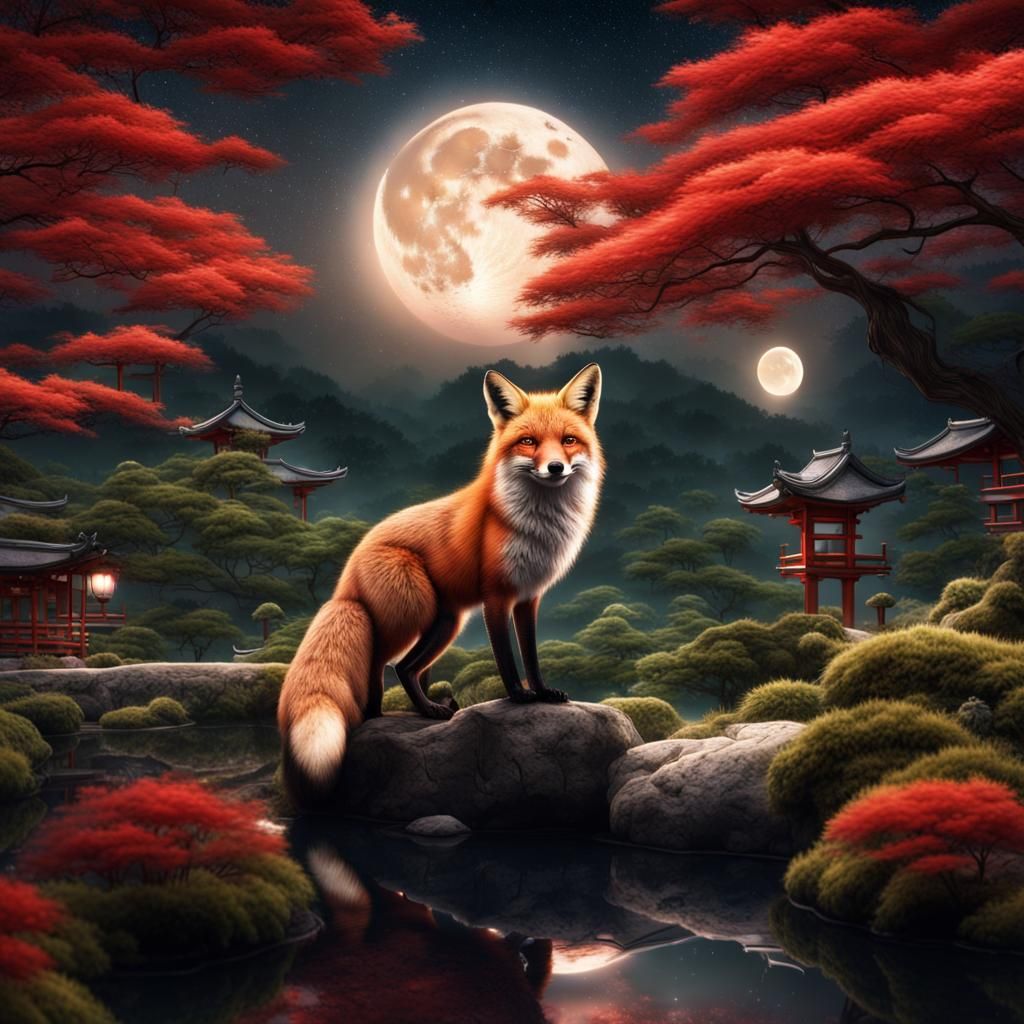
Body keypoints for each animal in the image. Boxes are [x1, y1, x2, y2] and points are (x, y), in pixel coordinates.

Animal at [278, 362, 604, 806]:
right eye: (528, 442)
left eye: (568, 441)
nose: (555, 468)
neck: (536, 526)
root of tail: (350, 567)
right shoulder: (496, 598)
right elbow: (506, 657)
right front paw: (518, 697)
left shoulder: (528, 598)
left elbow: (532, 655)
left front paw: (541, 691)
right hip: (415, 615)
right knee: (384, 664)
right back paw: (379, 714)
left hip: (445, 622)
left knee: (408, 669)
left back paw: (425, 710)